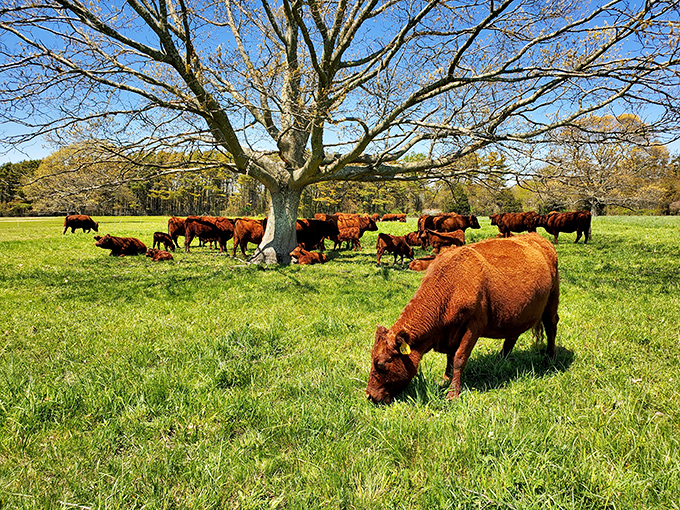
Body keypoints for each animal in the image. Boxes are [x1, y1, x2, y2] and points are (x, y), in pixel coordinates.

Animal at [366, 233, 559, 403]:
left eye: (381, 363)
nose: (369, 395)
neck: (452, 283)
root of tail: (539, 238)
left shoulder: (473, 327)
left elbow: (459, 358)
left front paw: (453, 393)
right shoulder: (450, 332)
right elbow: (450, 357)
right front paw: (445, 378)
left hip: (552, 300)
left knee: (551, 327)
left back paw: (550, 358)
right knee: (511, 338)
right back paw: (499, 362)